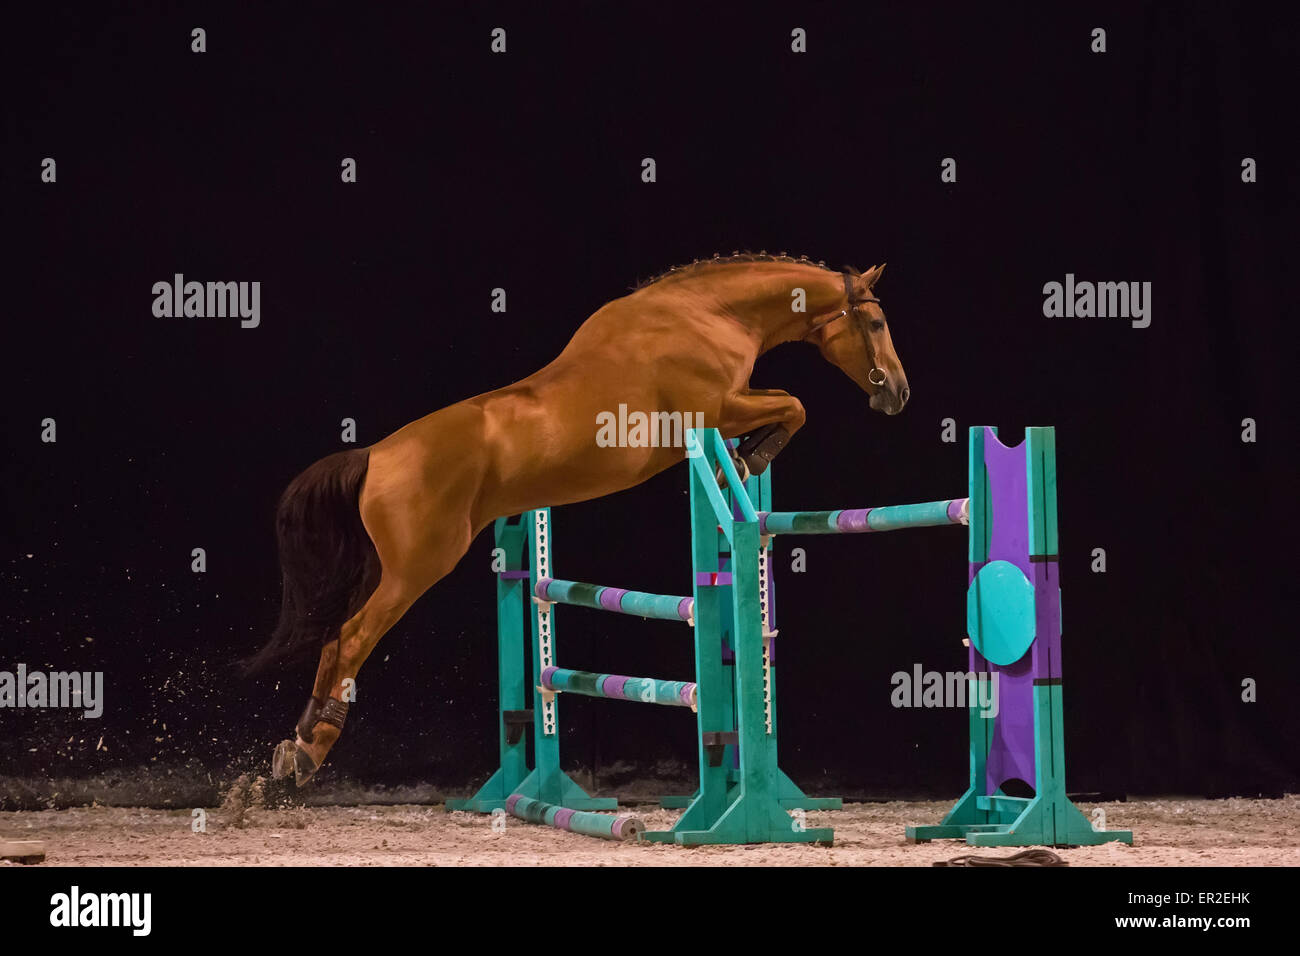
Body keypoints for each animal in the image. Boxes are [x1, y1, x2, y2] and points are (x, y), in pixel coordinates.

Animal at [249, 254, 909, 785]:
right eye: (876, 324)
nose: (898, 394)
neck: (708, 313)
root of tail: (375, 455)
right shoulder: (716, 408)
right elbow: (794, 405)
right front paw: (750, 457)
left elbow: (788, 406)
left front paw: (748, 456)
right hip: (417, 568)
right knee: (351, 638)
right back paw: (311, 750)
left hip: (391, 569)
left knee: (333, 641)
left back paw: (294, 748)